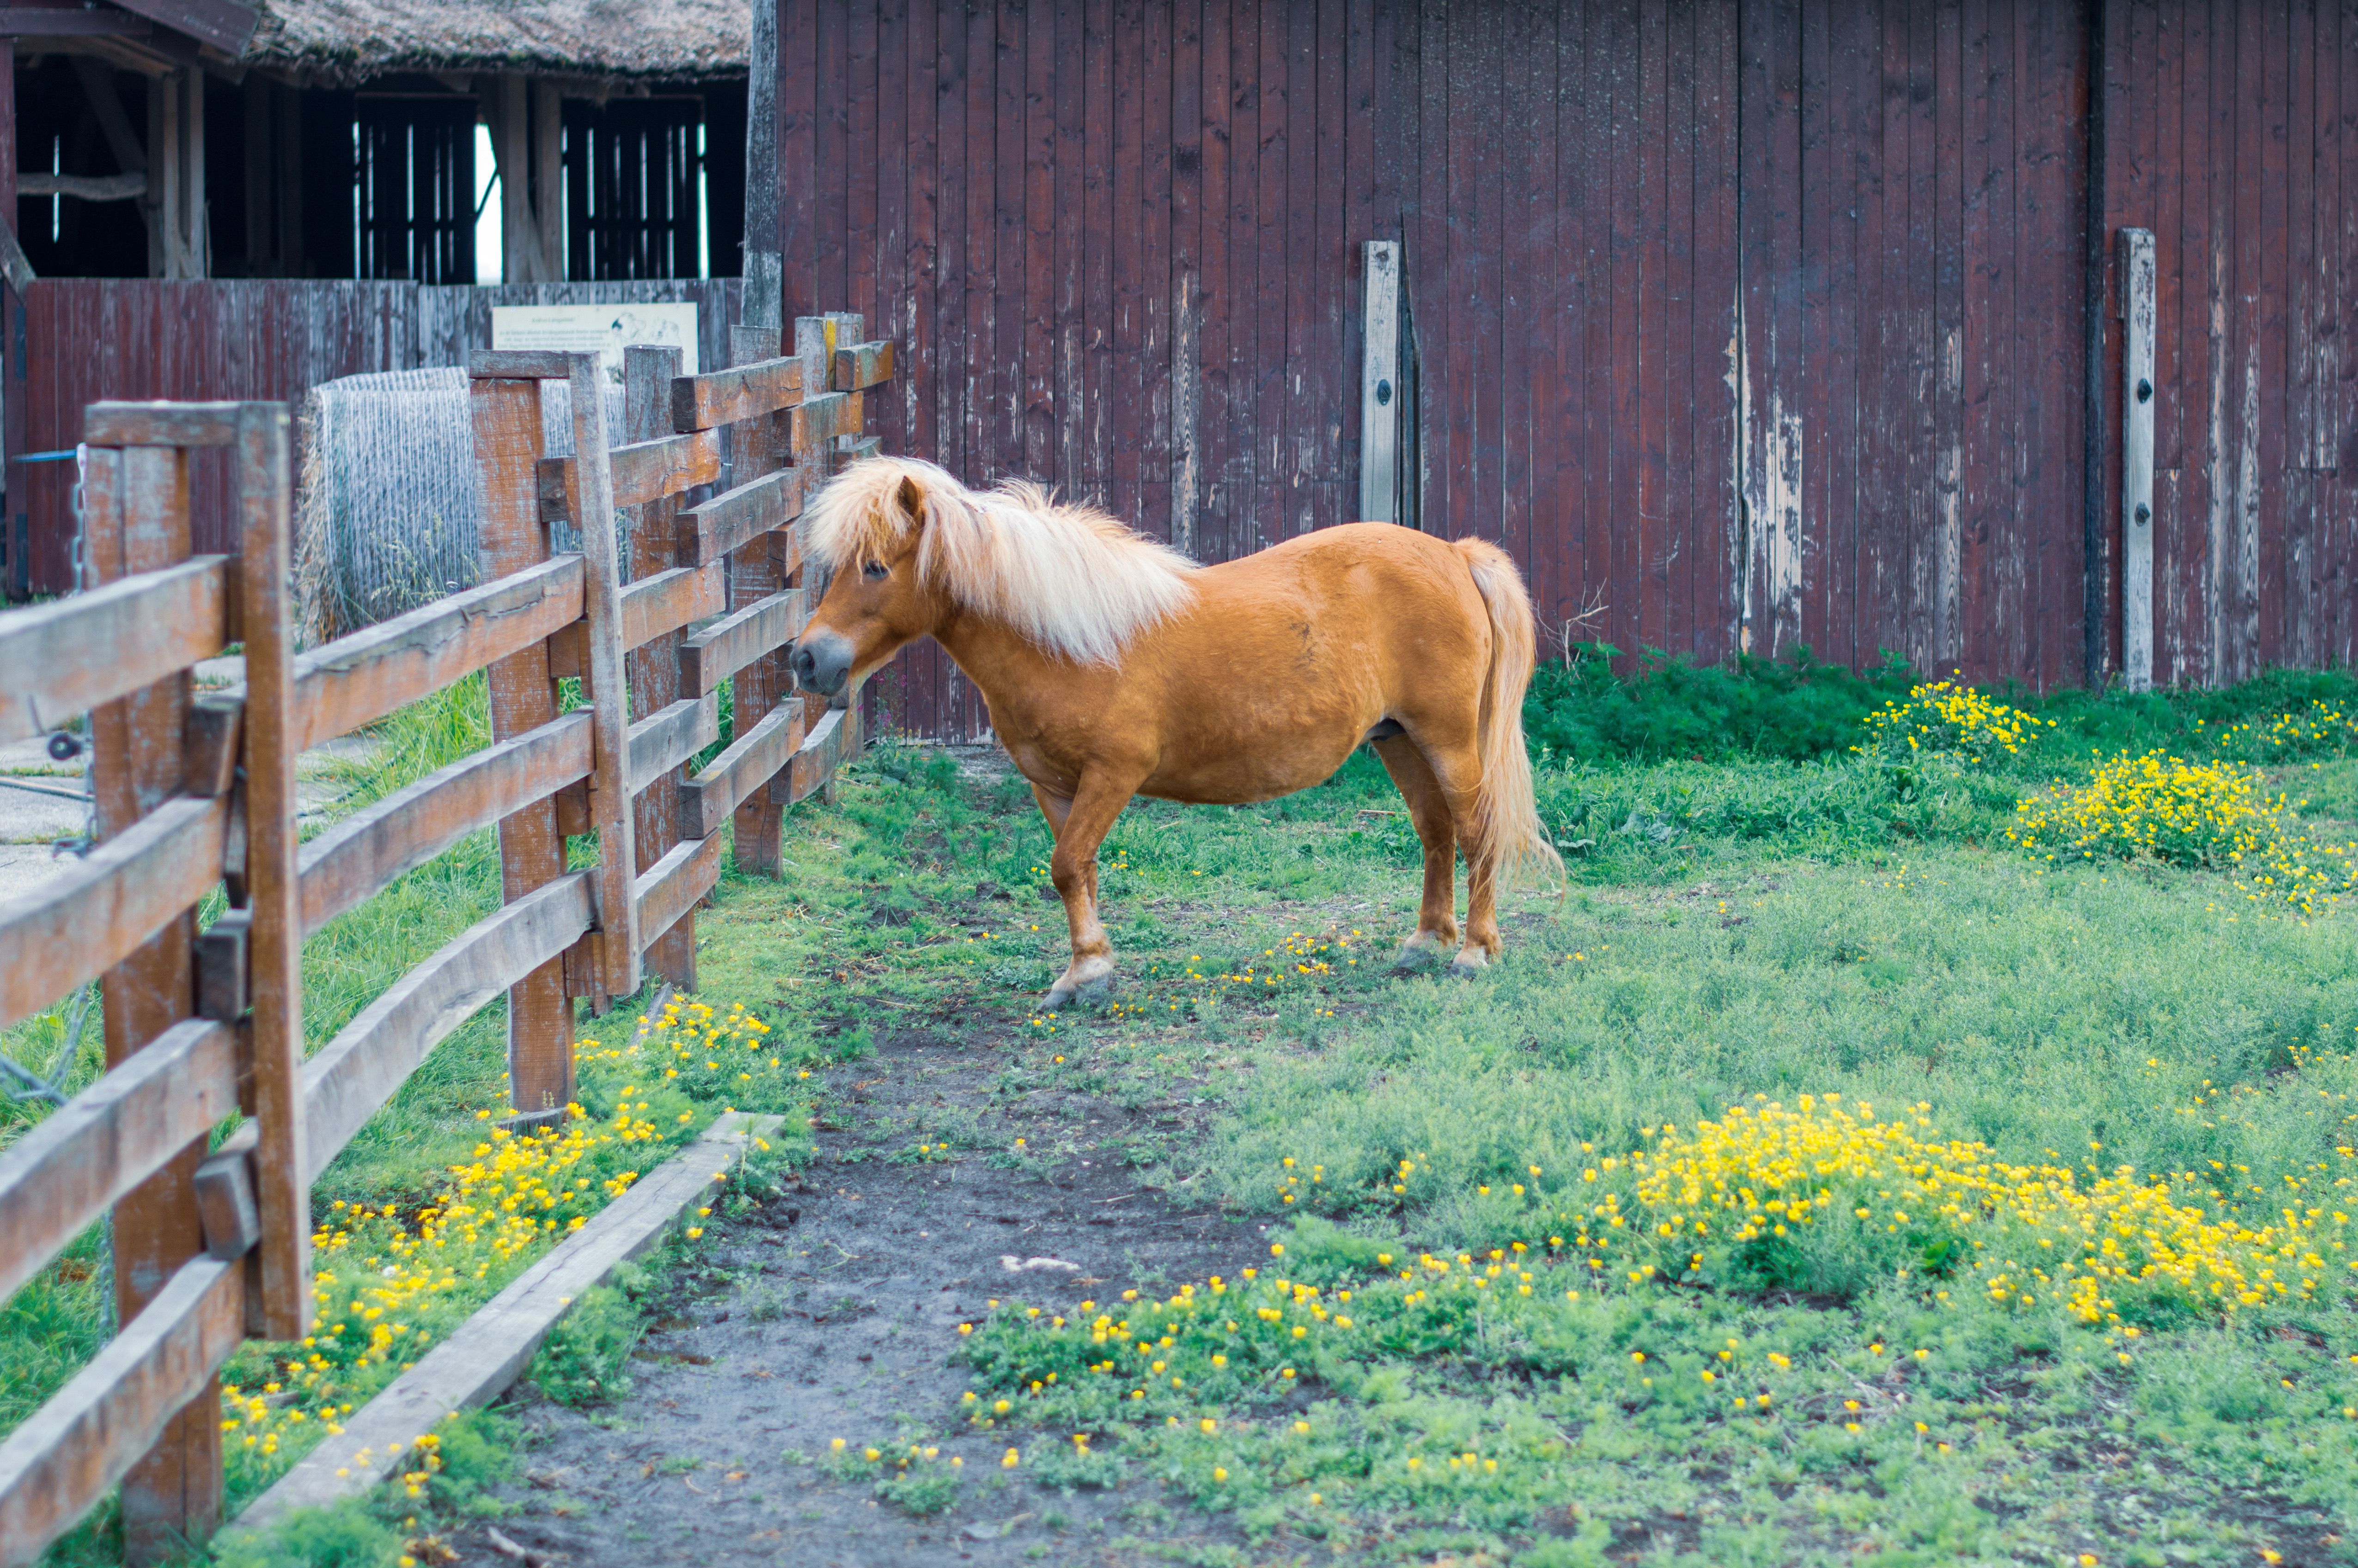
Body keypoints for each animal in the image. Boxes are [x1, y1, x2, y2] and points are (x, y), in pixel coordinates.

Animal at [791, 456, 1561, 1011]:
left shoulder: (1112, 775)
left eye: (875, 567)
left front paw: (1086, 975)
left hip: (1448, 740)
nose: (807, 660)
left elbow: (1066, 865)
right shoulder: (1054, 787)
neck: (1069, 641)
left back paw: (1473, 951)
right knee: (1435, 832)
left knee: (1476, 832)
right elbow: (1077, 872)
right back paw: (1426, 942)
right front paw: (1088, 968)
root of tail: (1453, 554)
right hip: (1397, 738)